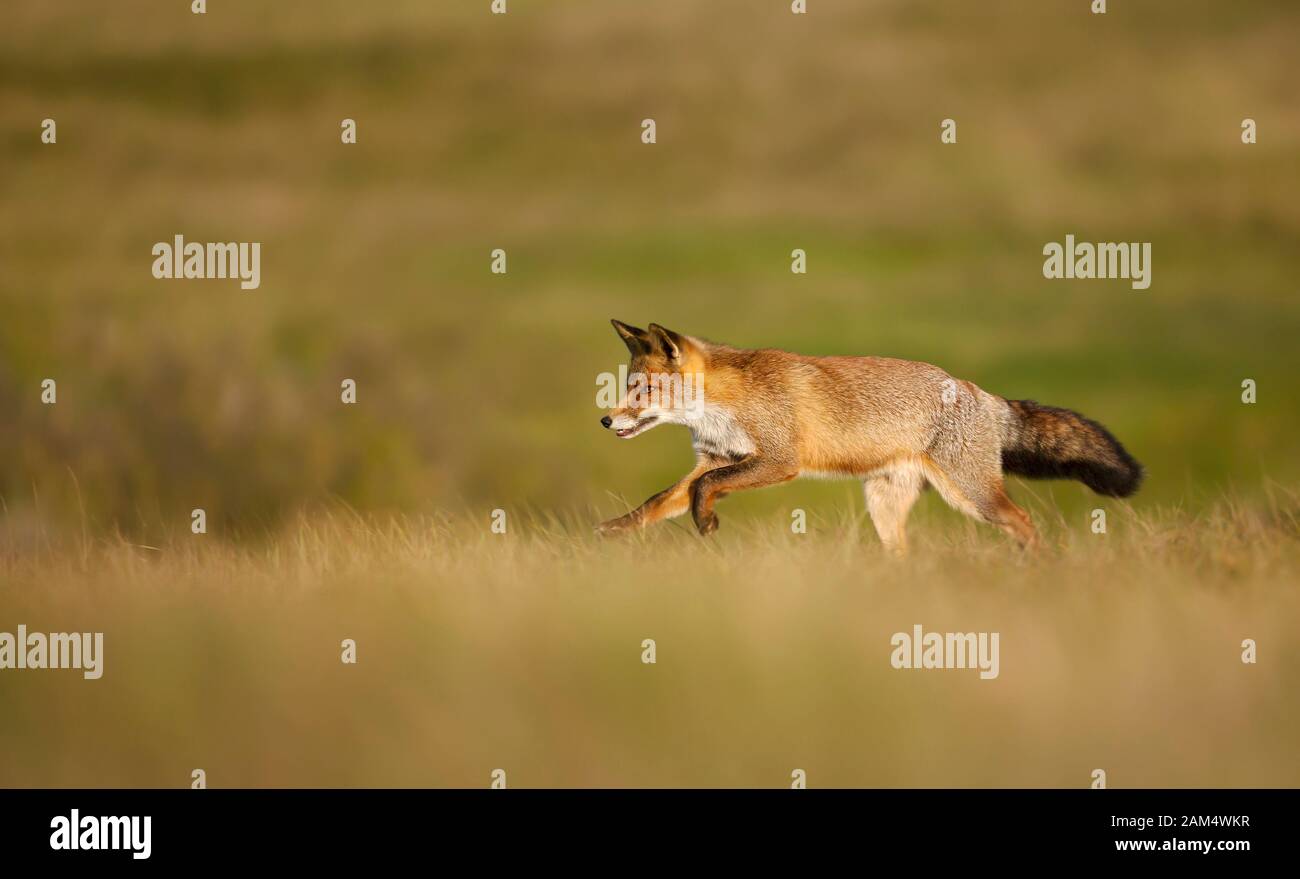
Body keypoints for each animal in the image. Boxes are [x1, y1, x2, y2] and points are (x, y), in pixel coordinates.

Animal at [597, 320, 1143, 553]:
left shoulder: (778, 460)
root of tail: (981, 393)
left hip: (971, 494)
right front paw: (614, 532)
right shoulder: (714, 458)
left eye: (643, 390)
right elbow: (661, 499)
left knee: (1024, 522)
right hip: (884, 506)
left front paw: (705, 522)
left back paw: (1035, 569)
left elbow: (705, 492)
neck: (726, 404)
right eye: (628, 386)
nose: (606, 422)